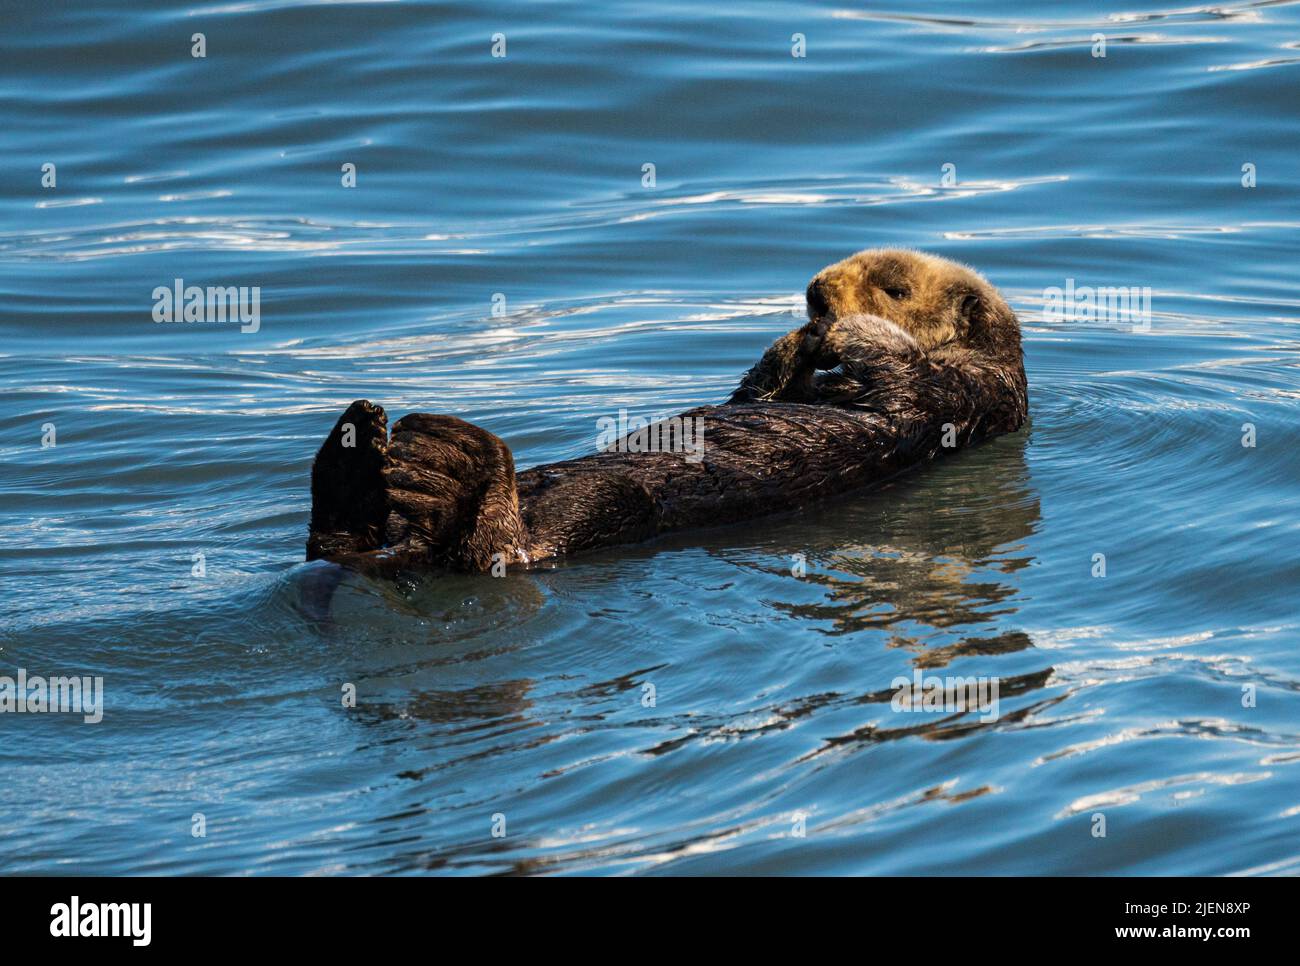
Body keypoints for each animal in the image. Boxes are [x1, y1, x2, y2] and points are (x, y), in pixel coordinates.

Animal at [305, 249, 1028, 574]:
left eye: (897, 287)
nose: (816, 292)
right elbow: (756, 393)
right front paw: (794, 342)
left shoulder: (966, 391)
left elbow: (902, 374)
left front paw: (840, 331)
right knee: (335, 544)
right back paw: (356, 449)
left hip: (606, 504)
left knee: (497, 550)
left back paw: (450, 468)